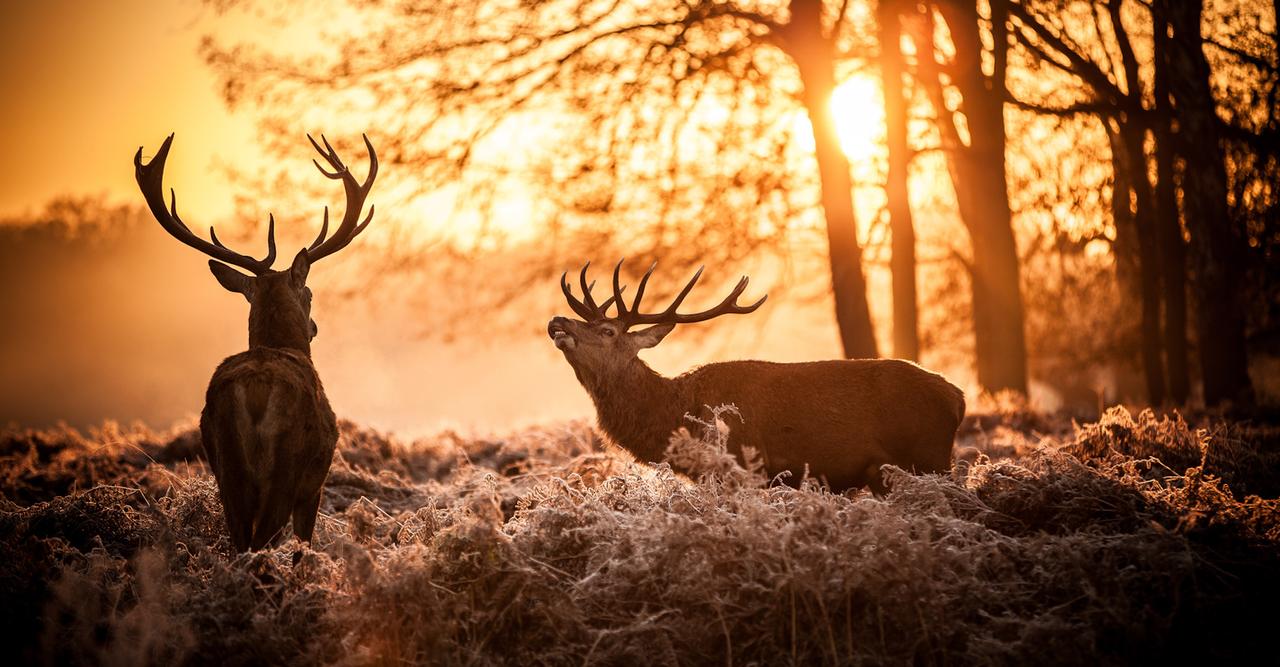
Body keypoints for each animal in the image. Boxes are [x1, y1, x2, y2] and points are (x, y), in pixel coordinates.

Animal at [134, 132, 378, 551]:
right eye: (309, 293)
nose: (314, 327)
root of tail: (256, 389)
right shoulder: (314, 485)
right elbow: (303, 547)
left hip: (226, 466)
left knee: (239, 540)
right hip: (286, 467)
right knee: (262, 539)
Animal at [548, 261, 965, 494]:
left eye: (608, 331)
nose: (557, 321)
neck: (677, 414)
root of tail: (957, 398)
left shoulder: (741, 466)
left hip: (929, 457)